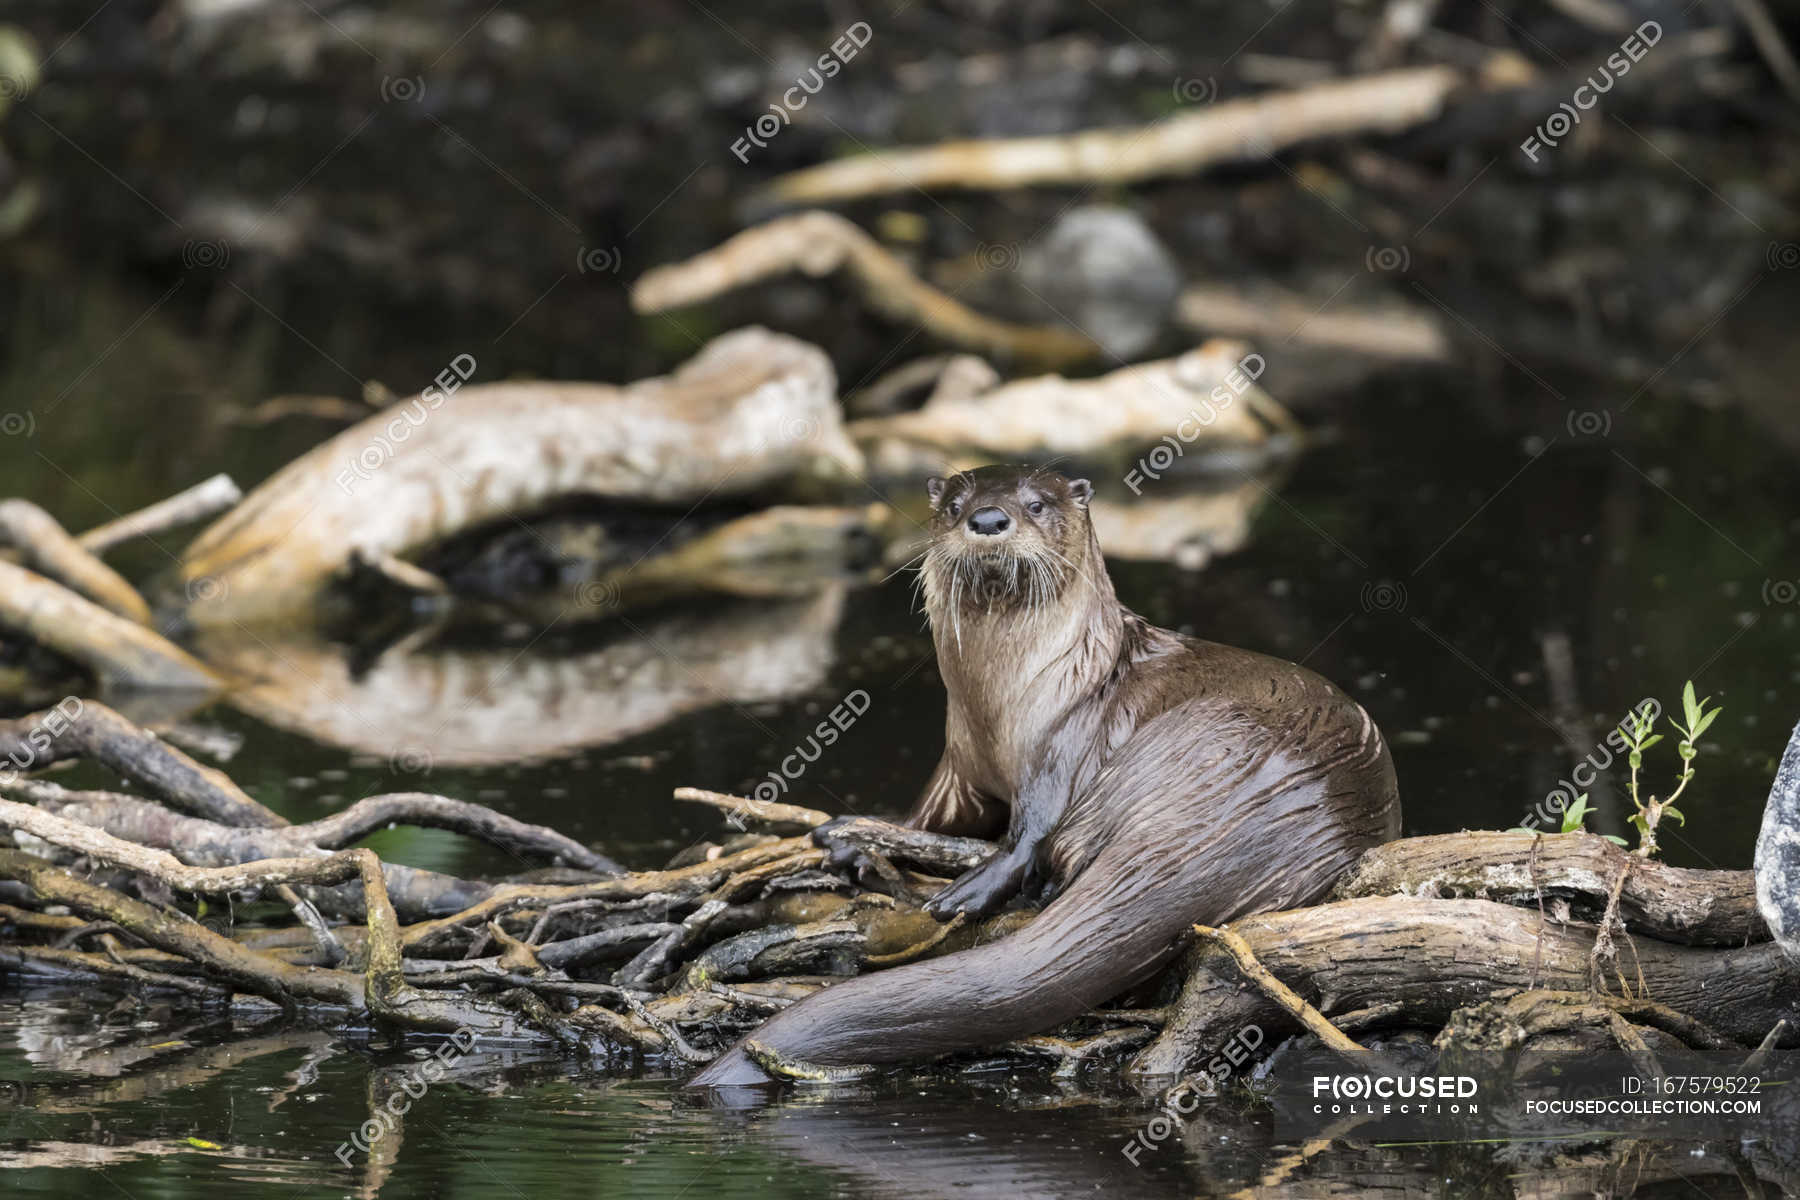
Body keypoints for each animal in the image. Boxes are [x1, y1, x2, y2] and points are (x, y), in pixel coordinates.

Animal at [689, 465, 1400, 1087]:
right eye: (954, 503)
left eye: (1036, 503)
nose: (987, 518)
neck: (1000, 705)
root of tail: (1237, 823)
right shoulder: (958, 765)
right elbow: (925, 818)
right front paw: (855, 836)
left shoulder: (1063, 746)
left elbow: (1031, 829)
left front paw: (969, 880)